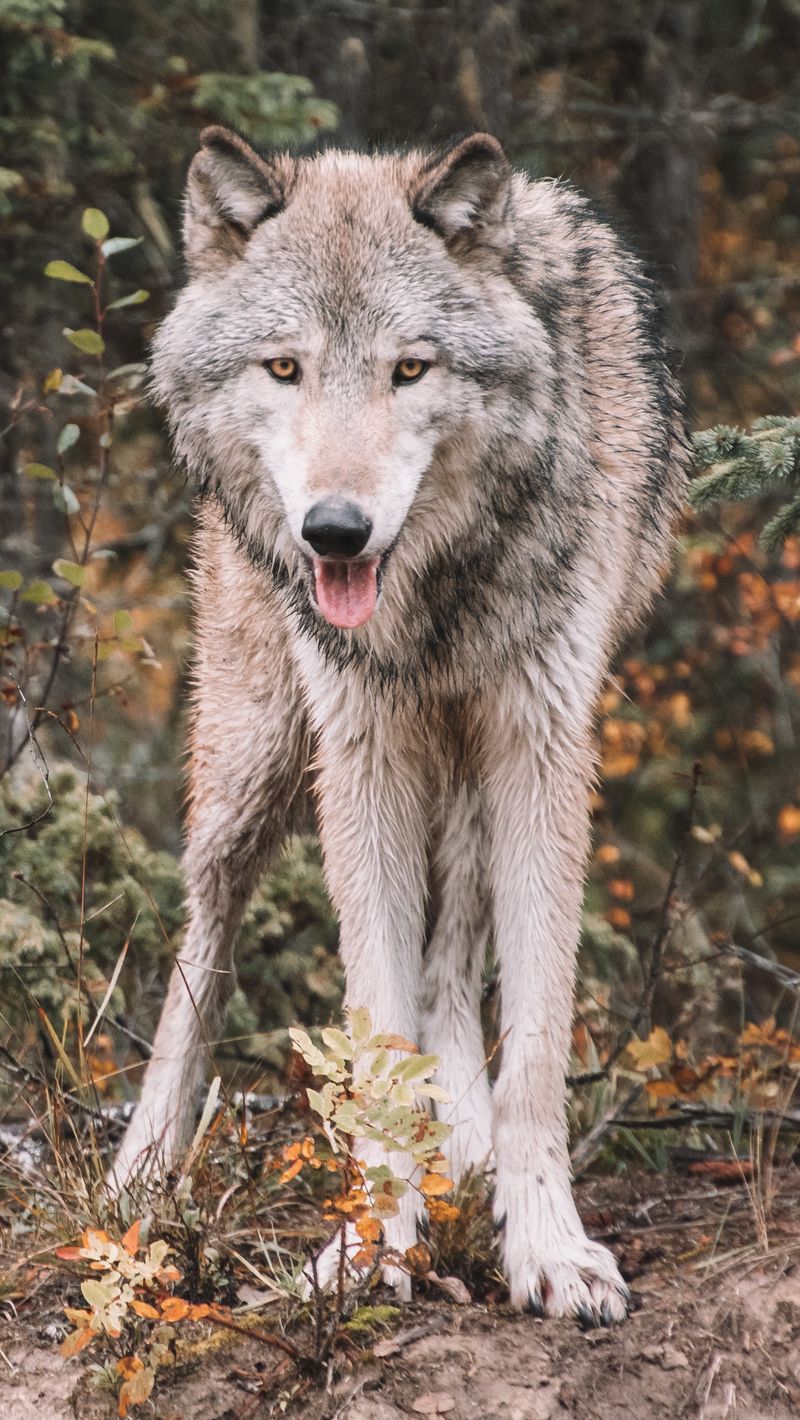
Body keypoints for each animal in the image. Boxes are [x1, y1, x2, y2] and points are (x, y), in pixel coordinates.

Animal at [112, 126, 688, 1323]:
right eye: (284, 368)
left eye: (409, 369)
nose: (334, 531)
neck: (437, 591)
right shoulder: (361, 751)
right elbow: (373, 1026)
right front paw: (375, 1246)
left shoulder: (541, 742)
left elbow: (531, 1039)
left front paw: (547, 1245)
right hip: (256, 761)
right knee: (204, 937)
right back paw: (141, 1172)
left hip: (462, 769)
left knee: (455, 947)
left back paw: (462, 1146)